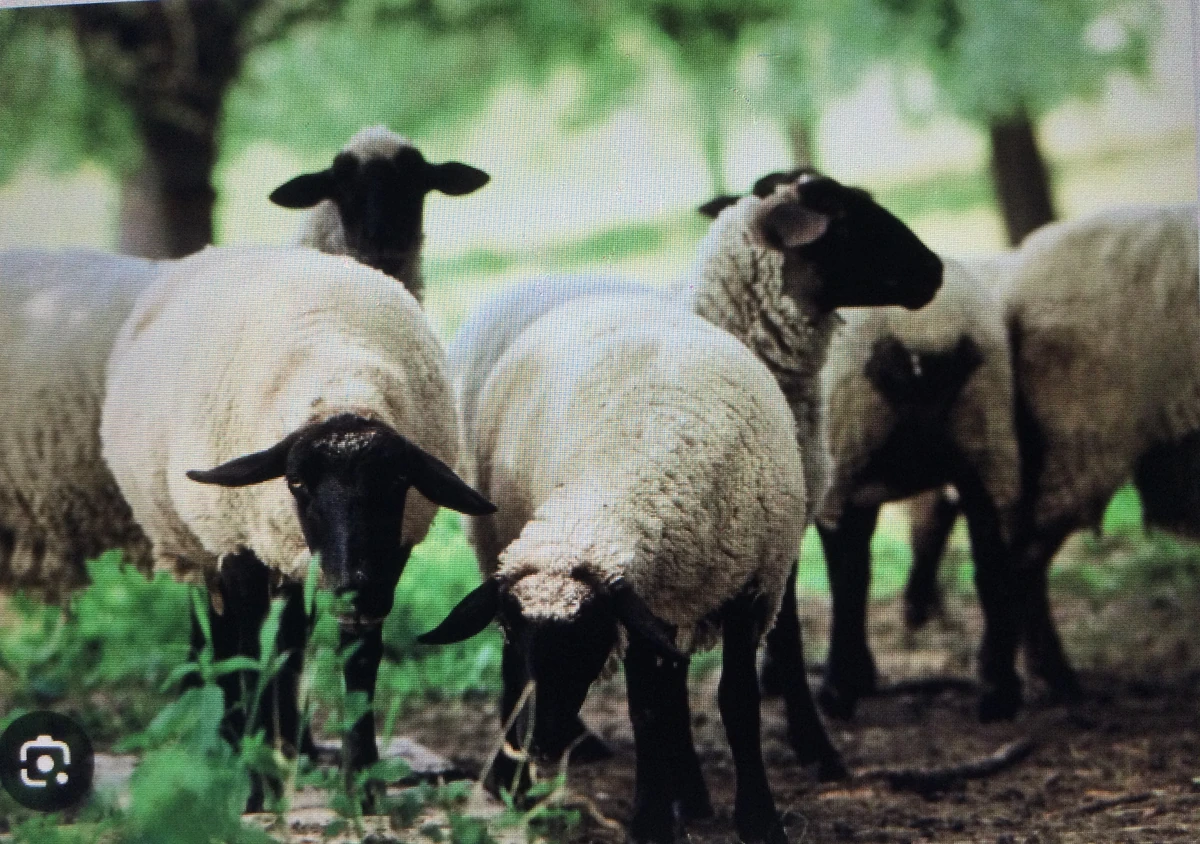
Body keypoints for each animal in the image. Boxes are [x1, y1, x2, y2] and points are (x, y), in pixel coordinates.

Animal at [101, 245, 495, 808]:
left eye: (399, 481)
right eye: (295, 482)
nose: (352, 586)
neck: (338, 379)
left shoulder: (387, 559)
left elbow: (356, 660)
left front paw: (361, 784)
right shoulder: (239, 548)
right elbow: (245, 657)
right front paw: (251, 784)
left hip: (291, 562)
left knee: (285, 645)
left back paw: (289, 747)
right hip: (204, 543)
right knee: (224, 642)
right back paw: (233, 745)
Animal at [422, 293, 829, 844]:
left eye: (588, 635)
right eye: (513, 628)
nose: (544, 741)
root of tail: (599, 296)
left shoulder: (751, 589)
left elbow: (736, 702)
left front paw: (758, 820)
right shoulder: (642, 604)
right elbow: (646, 711)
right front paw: (653, 819)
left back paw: (688, 796)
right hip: (509, 542)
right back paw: (514, 784)